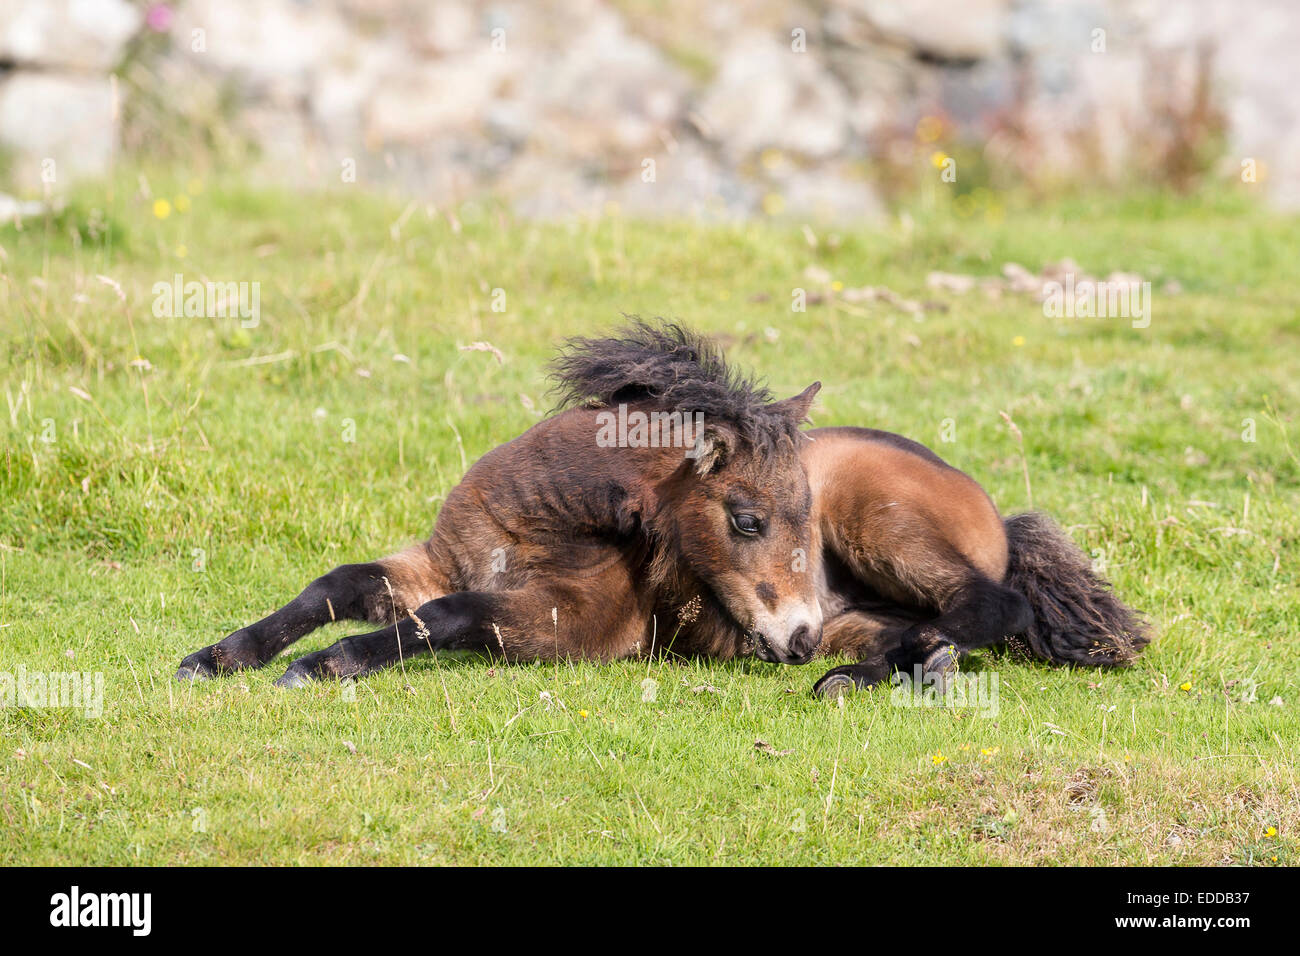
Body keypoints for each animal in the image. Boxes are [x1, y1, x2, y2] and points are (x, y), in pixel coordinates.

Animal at [176, 321, 1148, 695]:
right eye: (748, 520)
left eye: (793, 519)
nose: (797, 635)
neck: (533, 521)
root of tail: (990, 504)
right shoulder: (432, 562)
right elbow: (336, 584)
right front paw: (221, 656)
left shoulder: (568, 624)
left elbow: (447, 616)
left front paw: (327, 666)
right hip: (861, 607)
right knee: (928, 627)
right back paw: (879, 670)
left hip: (881, 526)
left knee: (990, 604)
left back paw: (870, 673)